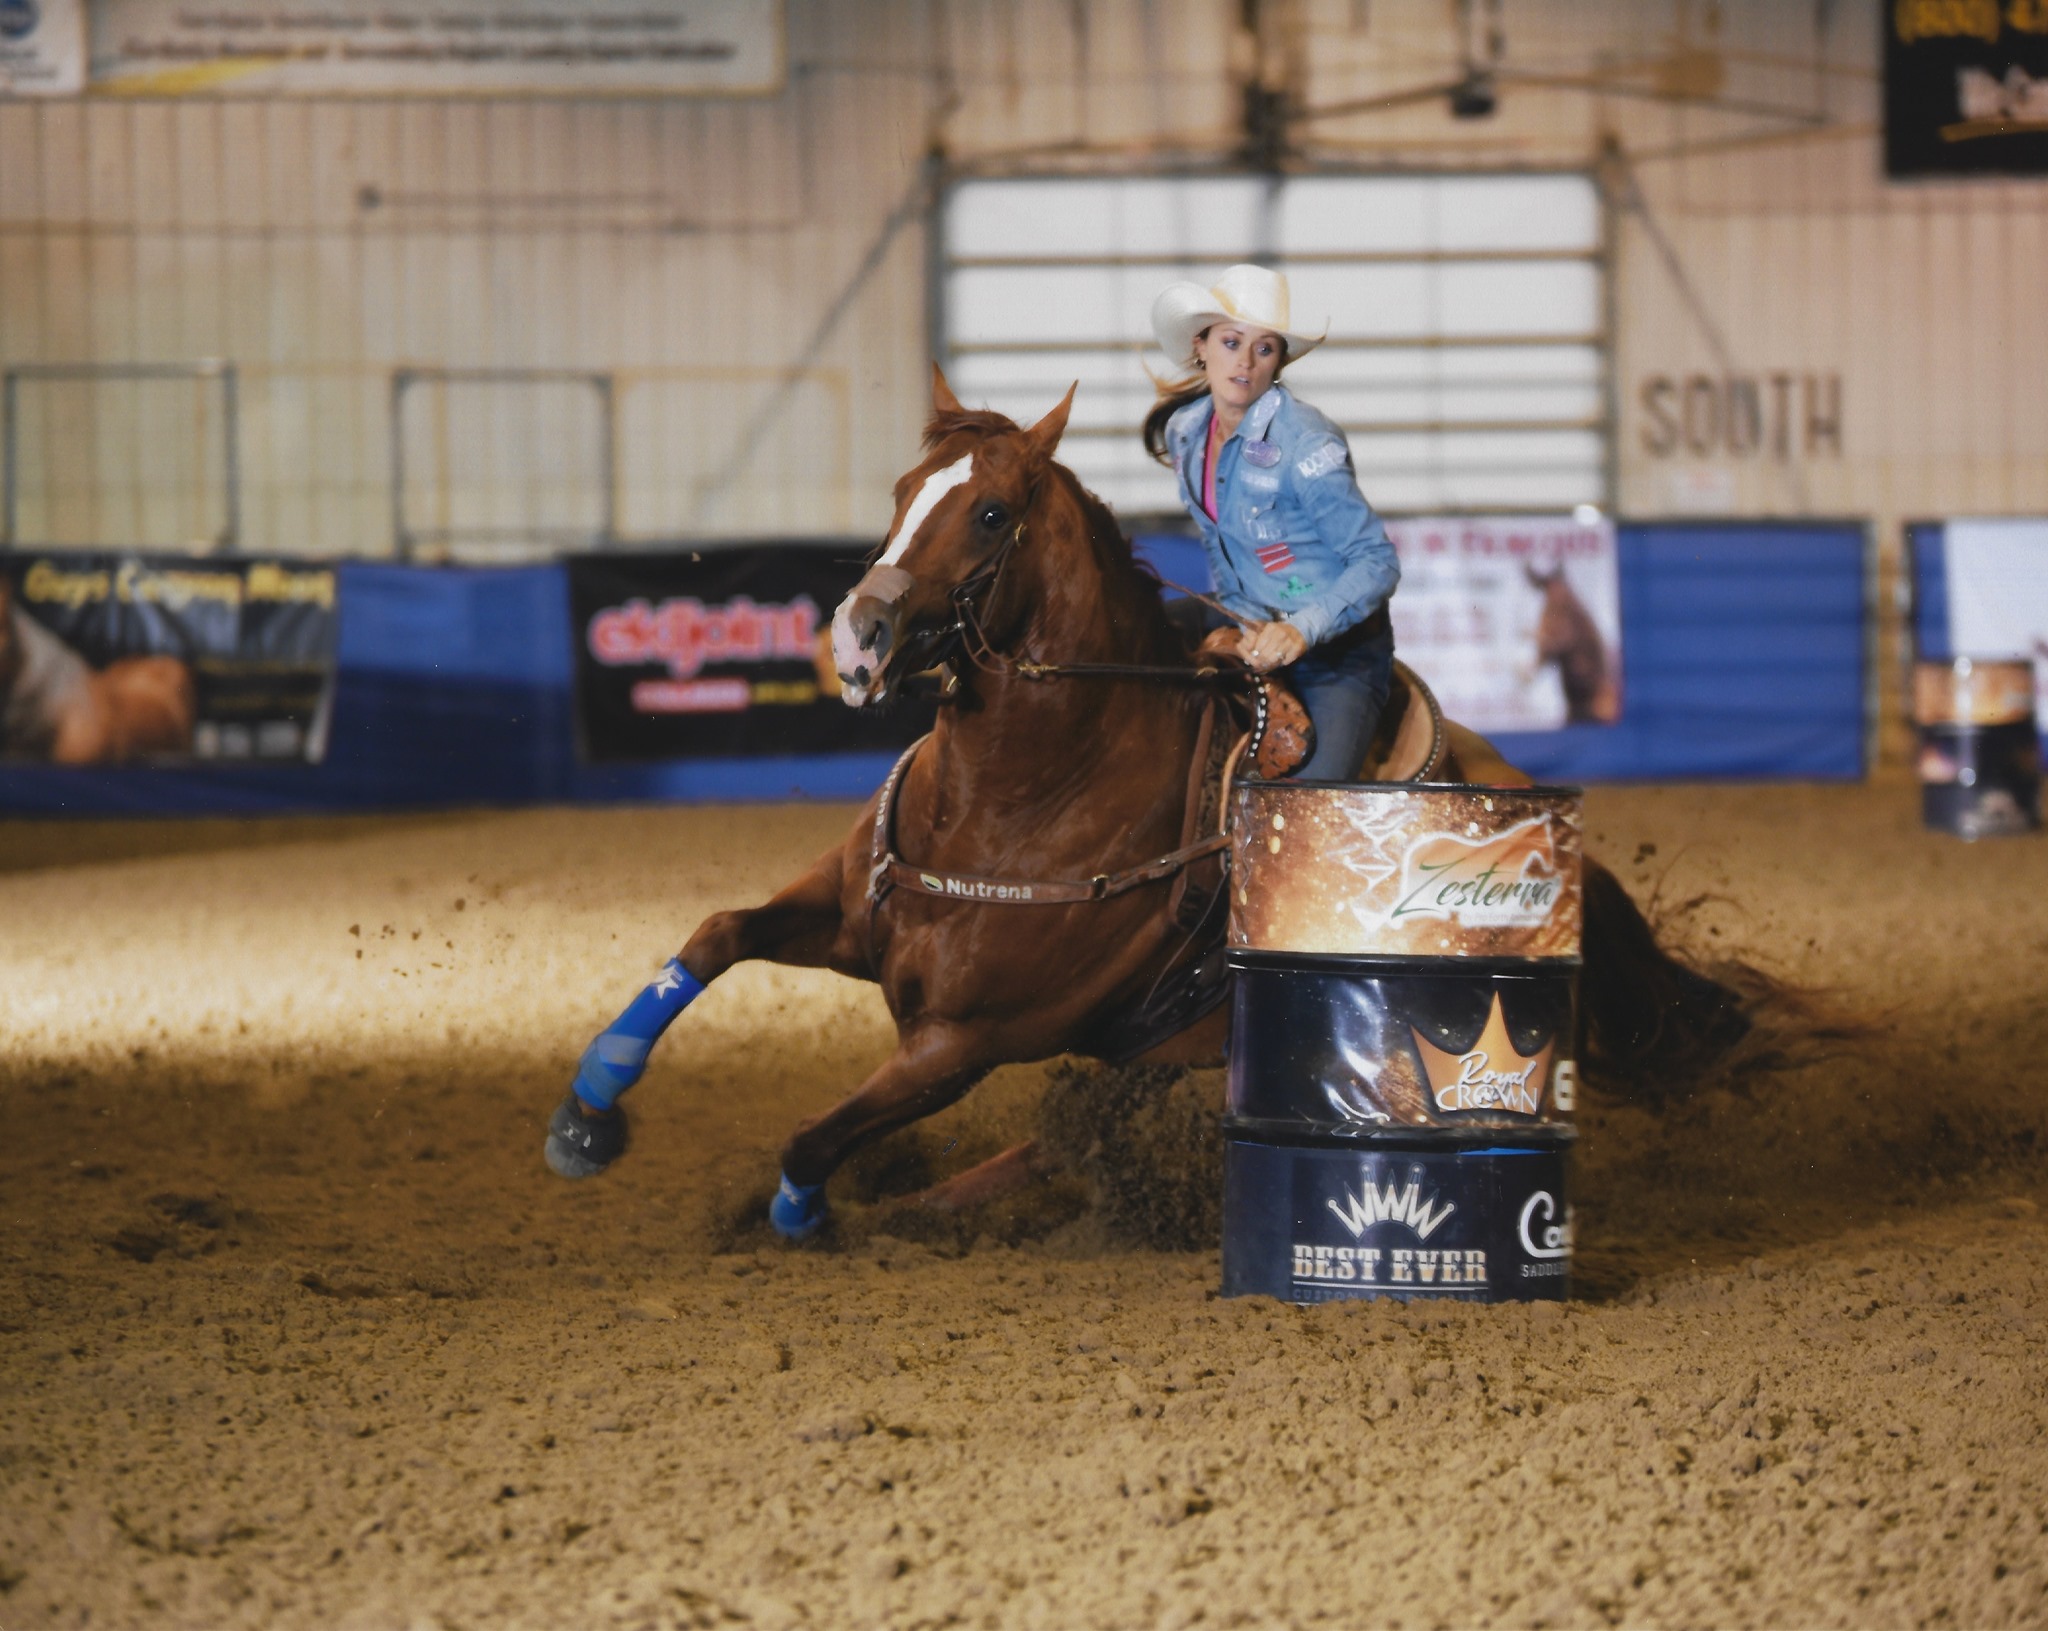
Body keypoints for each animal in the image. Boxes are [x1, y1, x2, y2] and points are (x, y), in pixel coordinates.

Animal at [543, 372, 1745, 1237]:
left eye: (989, 512)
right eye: (898, 495)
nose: (857, 638)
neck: (1017, 796)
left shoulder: (960, 1040)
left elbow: (810, 1133)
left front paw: (798, 1213)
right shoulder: (846, 916)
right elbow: (712, 935)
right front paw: (586, 1115)